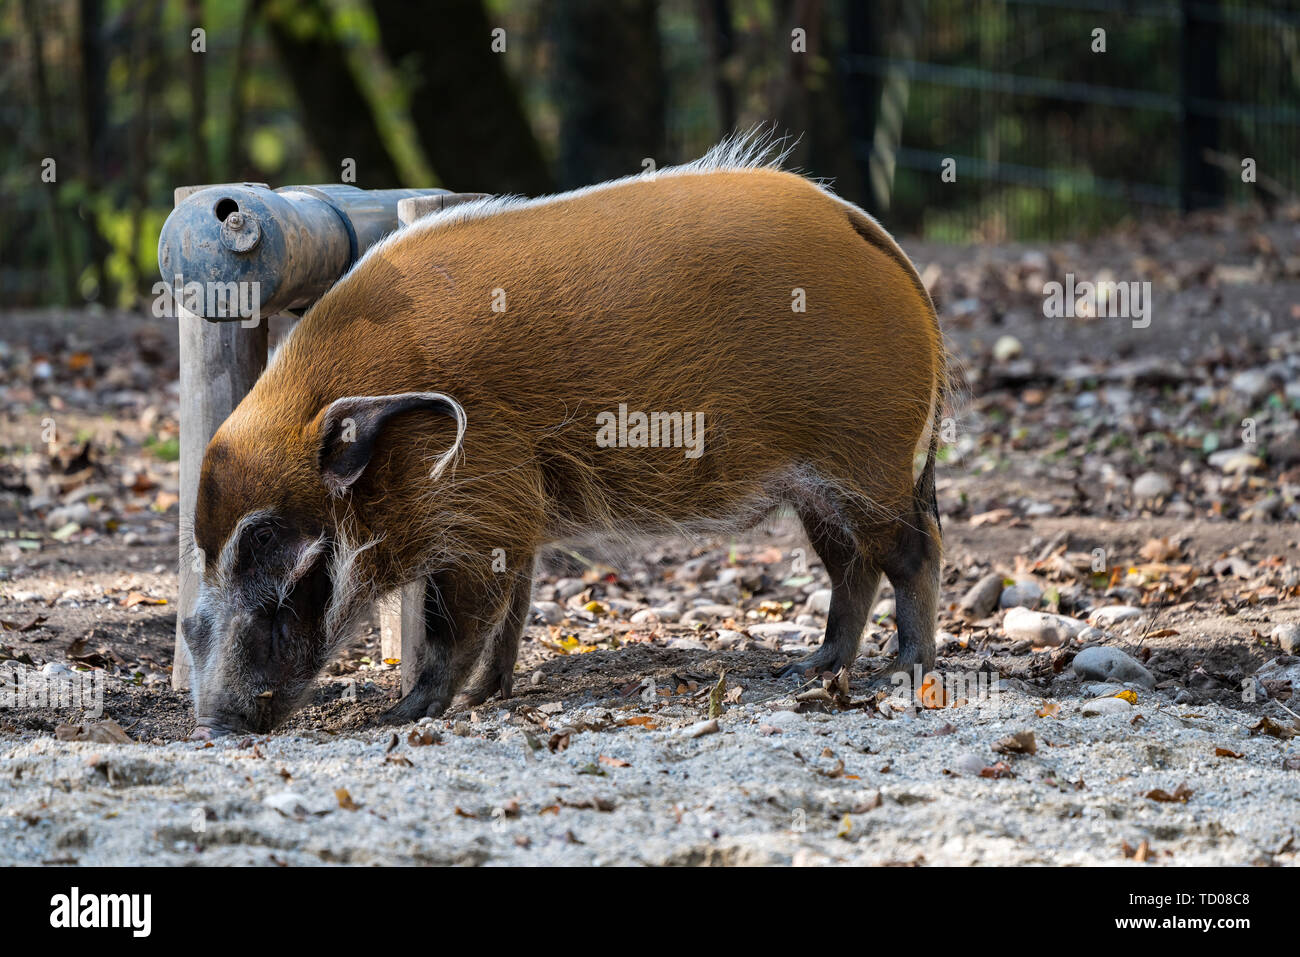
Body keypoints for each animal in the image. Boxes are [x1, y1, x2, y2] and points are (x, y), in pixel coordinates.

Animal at [182, 132, 945, 736]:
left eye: (266, 542)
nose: (216, 723)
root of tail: (871, 231)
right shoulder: (513, 516)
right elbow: (511, 609)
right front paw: (487, 696)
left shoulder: (482, 505)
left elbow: (457, 623)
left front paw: (404, 713)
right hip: (819, 485)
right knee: (853, 568)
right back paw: (810, 668)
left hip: (867, 457)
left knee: (914, 551)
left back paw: (906, 668)